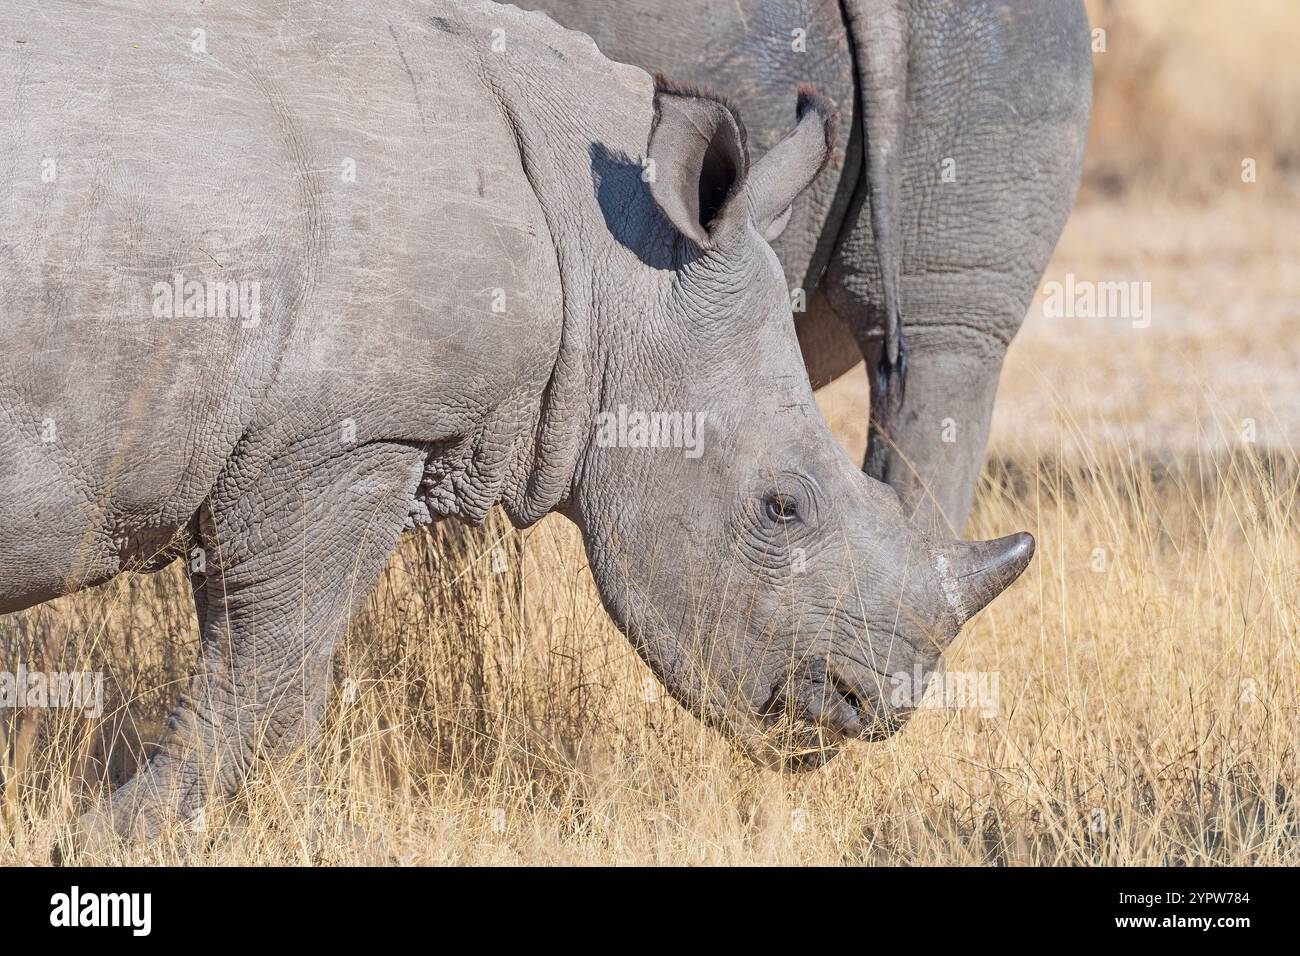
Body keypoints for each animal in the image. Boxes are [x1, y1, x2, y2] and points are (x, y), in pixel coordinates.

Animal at [0, 0, 1033, 845]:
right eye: (783, 508)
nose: (873, 705)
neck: (606, 252)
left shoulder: (335, 438)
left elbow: (275, 663)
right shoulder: (342, 436)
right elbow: (273, 664)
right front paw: (105, 843)